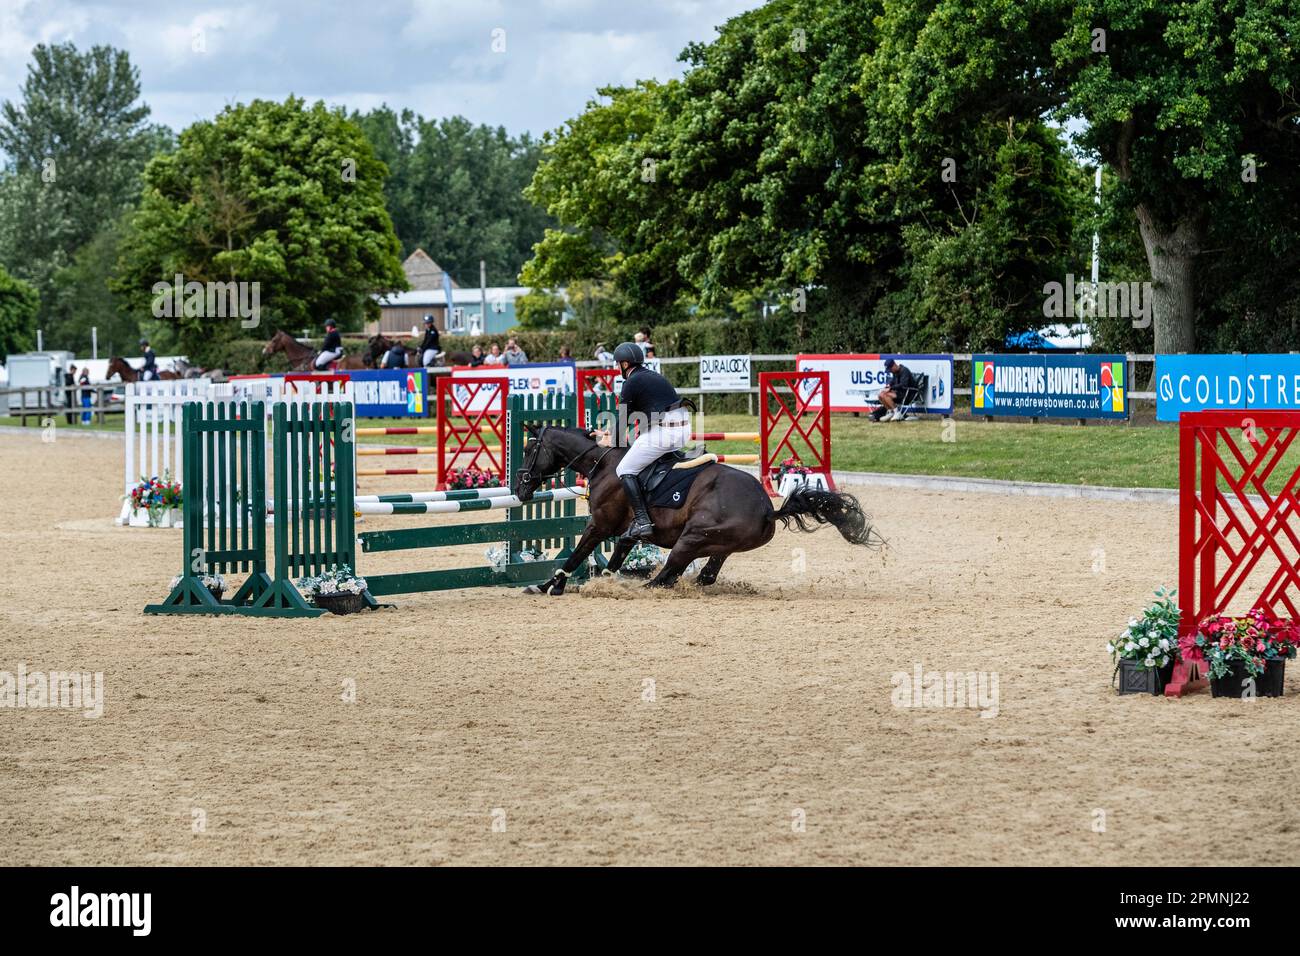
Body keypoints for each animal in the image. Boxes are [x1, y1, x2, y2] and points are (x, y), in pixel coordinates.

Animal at [512, 424, 881, 593]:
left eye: (530, 450)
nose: (520, 488)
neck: (602, 463)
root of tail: (768, 508)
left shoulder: (599, 525)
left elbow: (574, 556)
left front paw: (549, 586)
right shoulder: (622, 533)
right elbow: (614, 558)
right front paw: (601, 581)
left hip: (690, 538)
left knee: (667, 576)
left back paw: (645, 589)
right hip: (718, 546)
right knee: (702, 575)